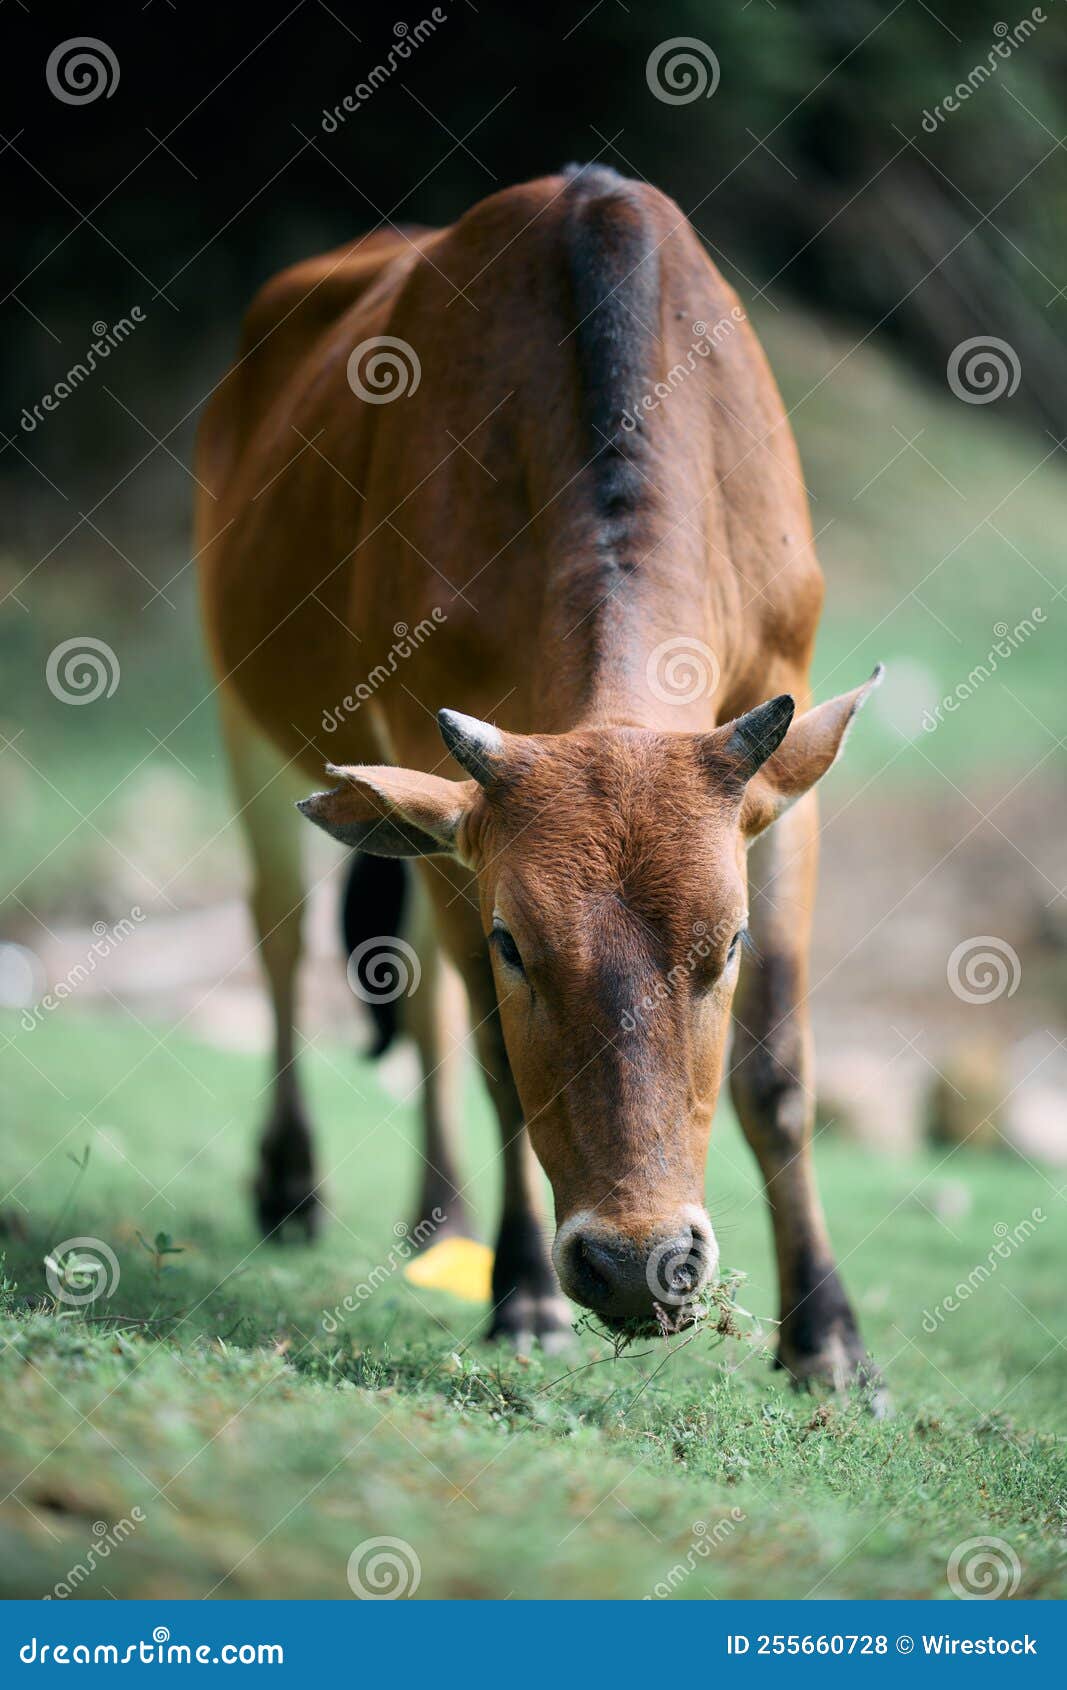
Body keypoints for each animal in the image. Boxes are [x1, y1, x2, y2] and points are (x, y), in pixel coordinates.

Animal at [196, 165, 882, 1390]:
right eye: (519, 942)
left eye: (729, 944)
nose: (640, 1262)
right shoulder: (431, 769)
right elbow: (494, 1054)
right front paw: (522, 1293)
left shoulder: (783, 731)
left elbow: (777, 1069)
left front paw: (829, 1338)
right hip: (244, 709)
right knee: (281, 932)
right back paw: (292, 1184)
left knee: (407, 981)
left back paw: (440, 1214)